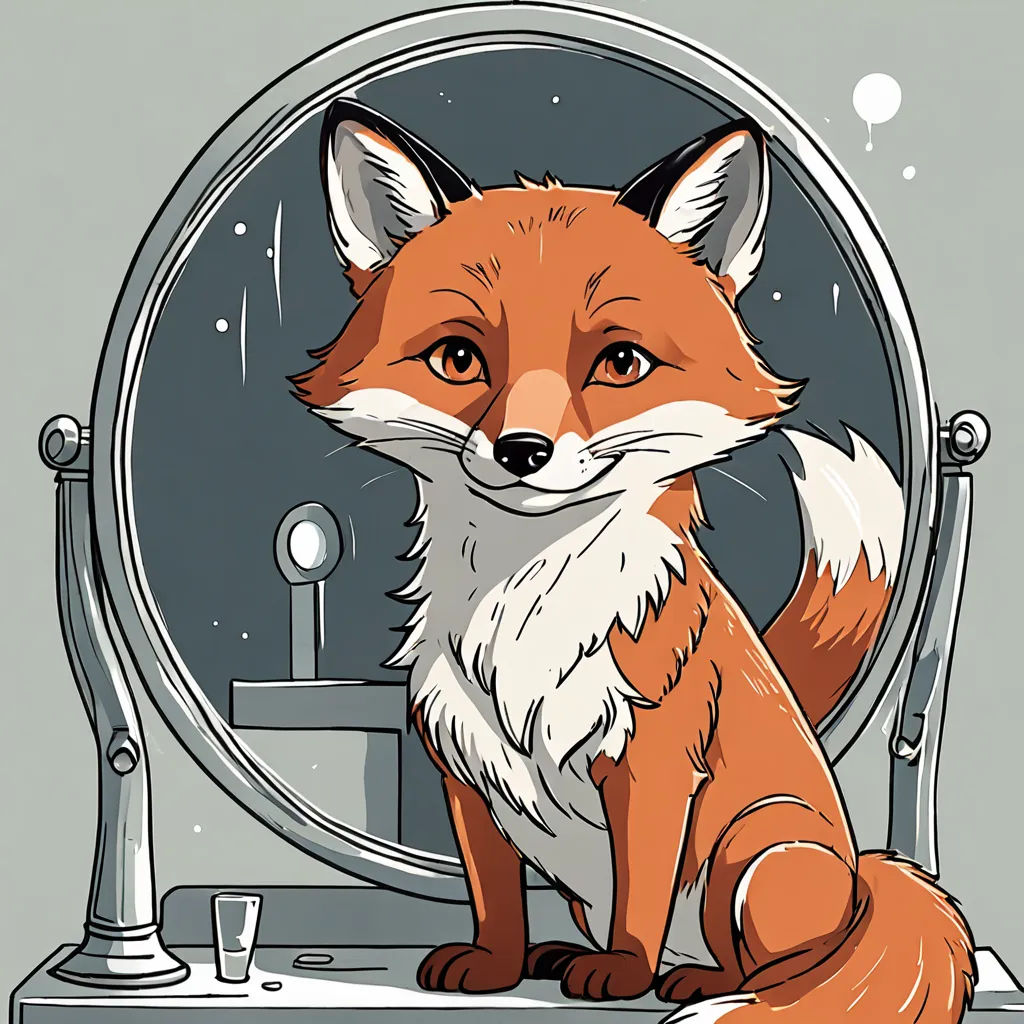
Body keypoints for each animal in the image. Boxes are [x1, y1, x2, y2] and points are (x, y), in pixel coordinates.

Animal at [290, 99, 976, 1021]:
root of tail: (865, 875)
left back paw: (700, 983)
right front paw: (497, 964)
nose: (524, 451)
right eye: (459, 359)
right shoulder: (464, 770)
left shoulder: (655, 766)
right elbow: (494, 895)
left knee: (786, 966)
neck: (526, 604)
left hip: (754, 858)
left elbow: (641, 894)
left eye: (620, 363)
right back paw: (558, 955)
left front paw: (622, 973)